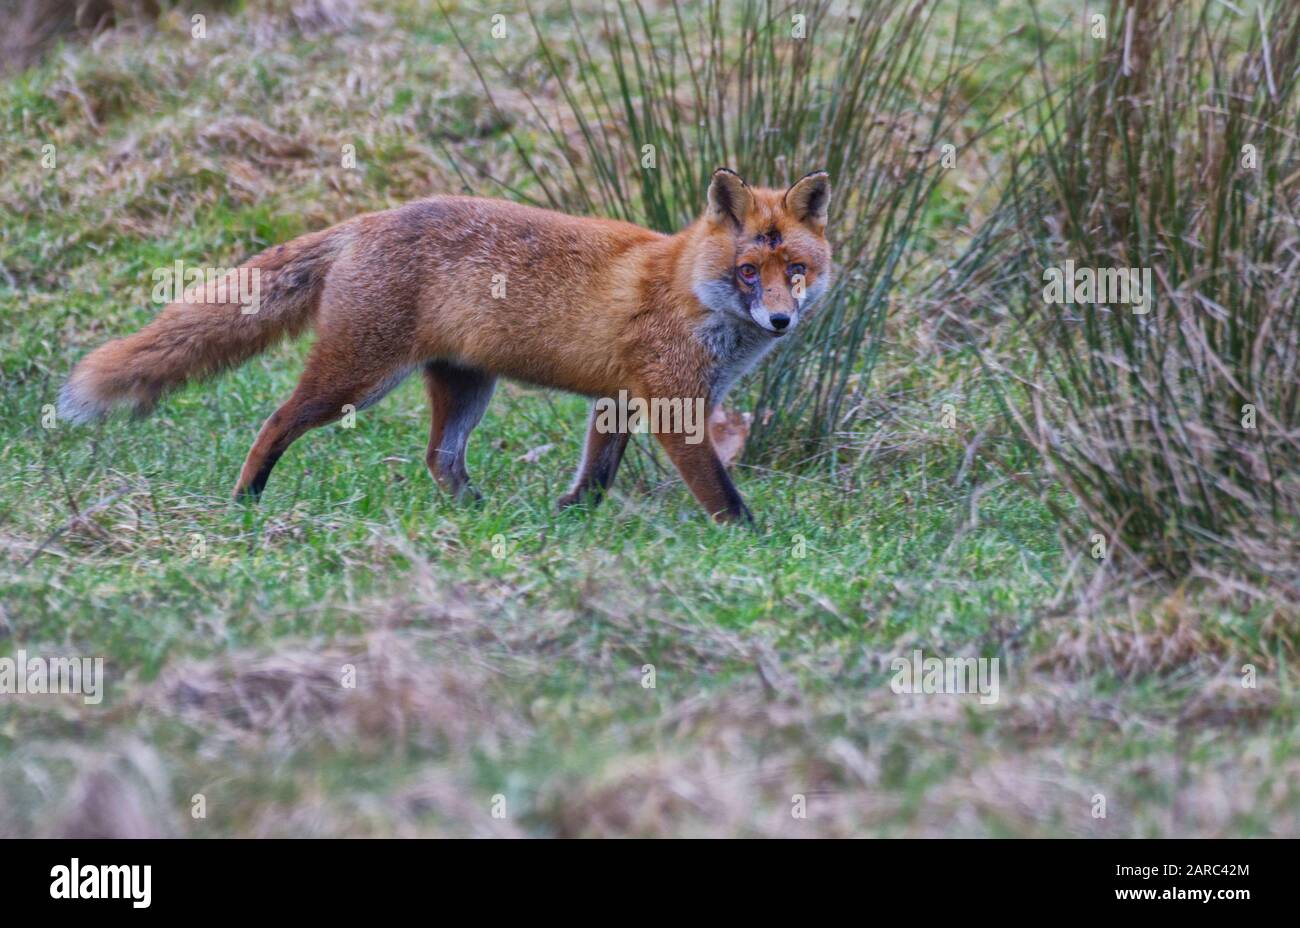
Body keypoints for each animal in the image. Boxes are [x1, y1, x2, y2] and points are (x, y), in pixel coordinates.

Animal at [59, 168, 833, 522]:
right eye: (748, 273)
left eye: (795, 270)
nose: (780, 323)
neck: (692, 291)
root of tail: (369, 219)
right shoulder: (673, 404)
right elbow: (722, 492)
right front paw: (751, 539)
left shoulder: (620, 400)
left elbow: (595, 476)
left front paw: (567, 522)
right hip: (357, 379)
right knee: (276, 420)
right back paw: (247, 499)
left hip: (464, 386)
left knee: (441, 458)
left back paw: (479, 511)